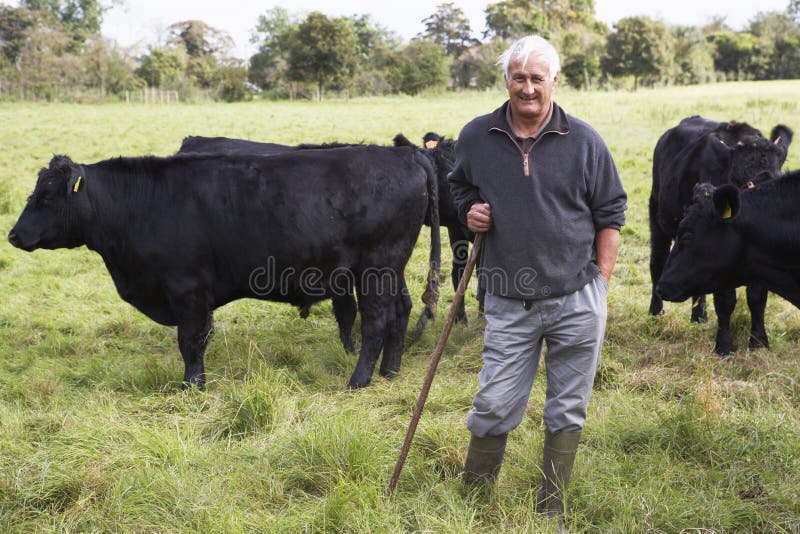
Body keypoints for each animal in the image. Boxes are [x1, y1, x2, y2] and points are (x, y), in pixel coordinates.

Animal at [7, 147, 441, 390]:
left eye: (46, 197)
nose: (13, 235)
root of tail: (405, 154)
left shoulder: (186, 291)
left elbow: (189, 342)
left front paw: (191, 387)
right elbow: (200, 339)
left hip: (375, 270)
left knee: (376, 322)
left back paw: (359, 381)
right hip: (392, 270)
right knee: (400, 312)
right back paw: (389, 373)